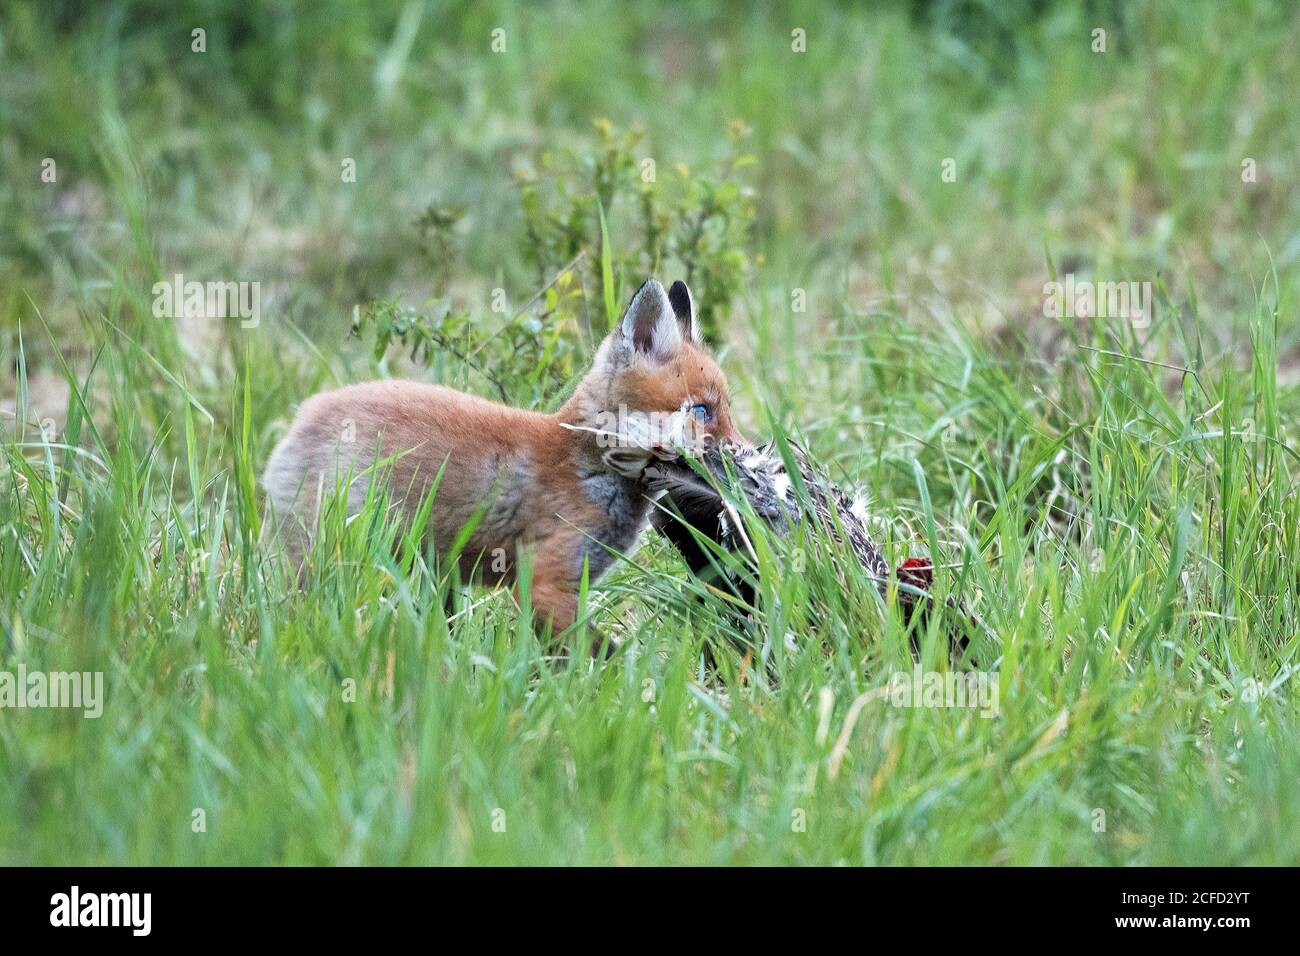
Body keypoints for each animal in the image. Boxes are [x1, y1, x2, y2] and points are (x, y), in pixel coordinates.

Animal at [263, 278, 744, 652]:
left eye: (726, 410)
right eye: (702, 411)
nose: (743, 455)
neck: (591, 466)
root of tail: (303, 415)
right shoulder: (543, 586)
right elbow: (608, 659)